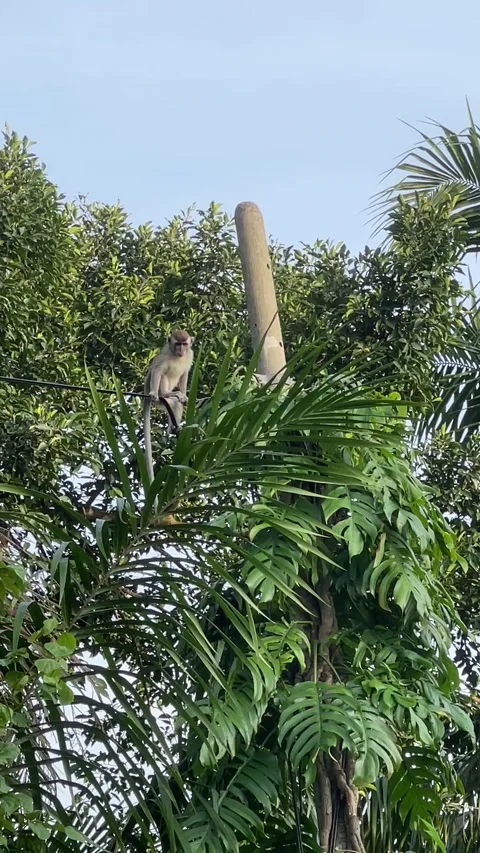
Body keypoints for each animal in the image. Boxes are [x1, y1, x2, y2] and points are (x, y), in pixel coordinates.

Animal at [143, 330, 194, 492]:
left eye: (184, 344)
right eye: (177, 344)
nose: (181, 350)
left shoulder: (190, 354)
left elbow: (184, 374)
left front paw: (185, 395)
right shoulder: (165, 354)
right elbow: (157, 370)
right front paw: (153, 392)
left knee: (176, 404)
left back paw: (174, 427)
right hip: (160, 398)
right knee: (162, 376)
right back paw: (166, 394)